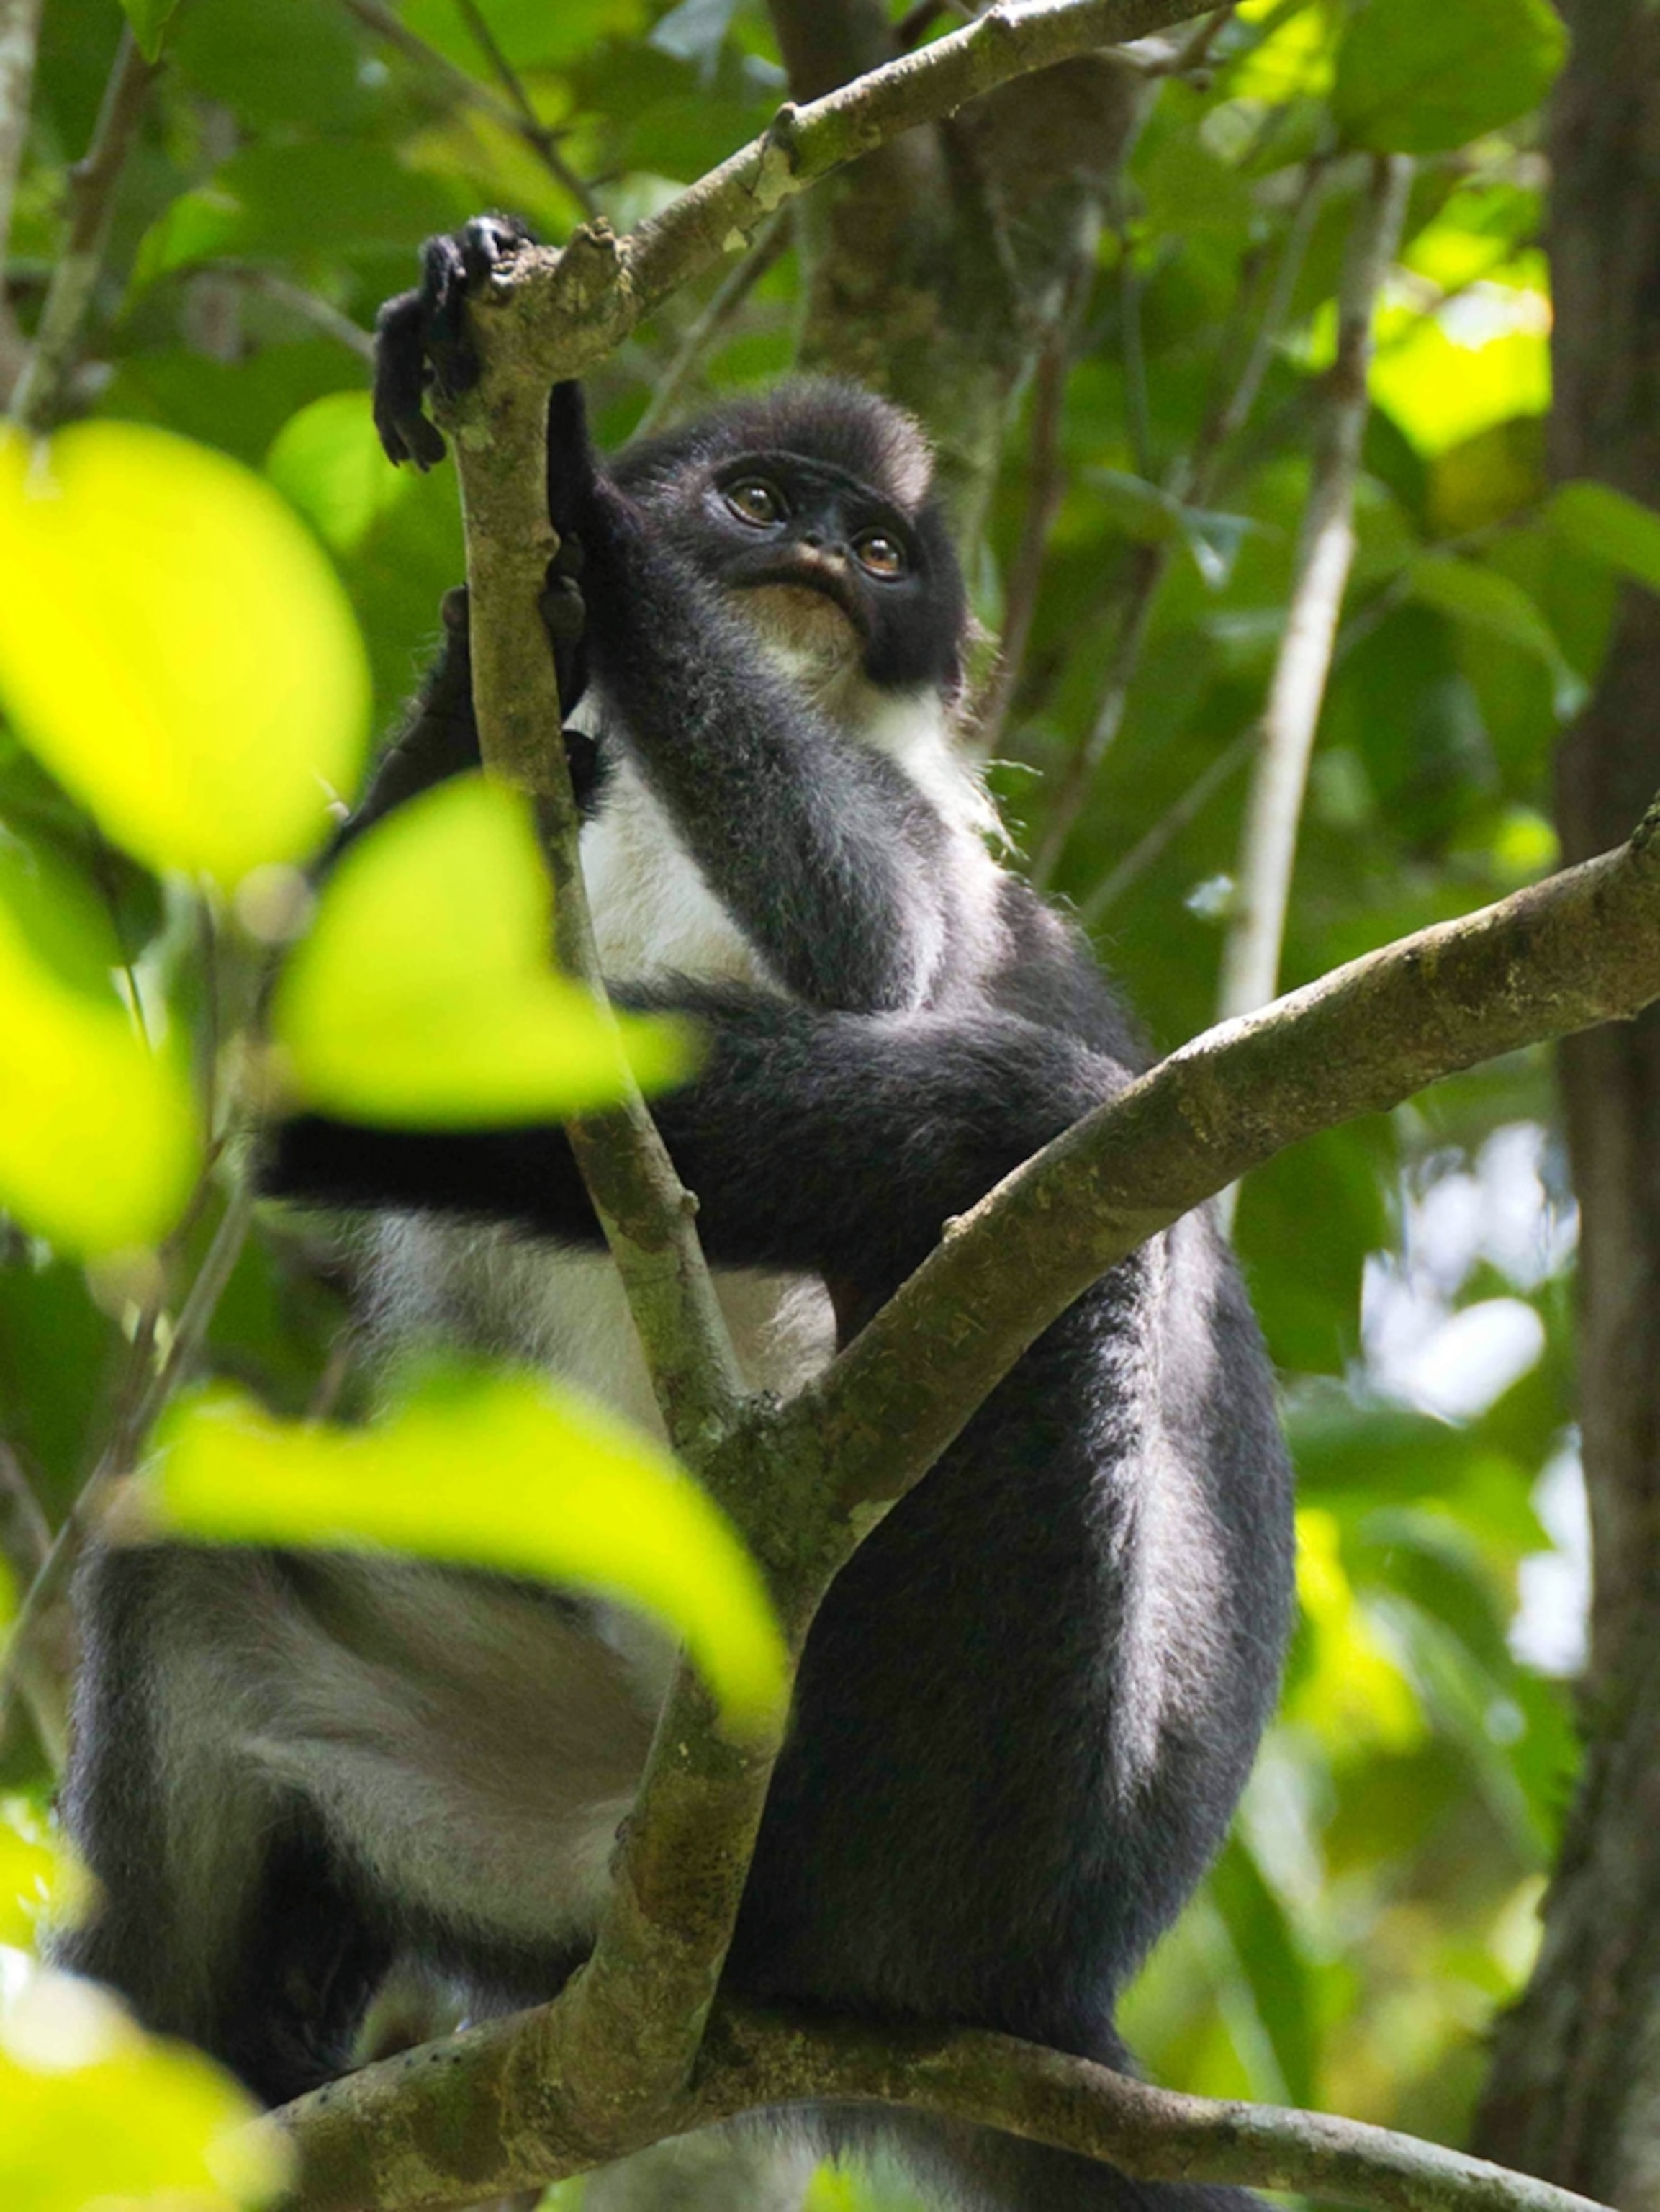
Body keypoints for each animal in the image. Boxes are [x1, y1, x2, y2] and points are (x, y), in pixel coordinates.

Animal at [57, 216, 1295, 2212]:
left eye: (879, 553)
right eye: (764, 501)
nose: (817, 564)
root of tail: (1054, 1995)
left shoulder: (937, 848)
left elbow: (884, 955)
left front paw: (562, 485)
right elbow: (360, 1042)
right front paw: (506, 581)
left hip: (965, 1806)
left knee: (1027, 1127)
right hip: (579, 1828)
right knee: (187, 1555)